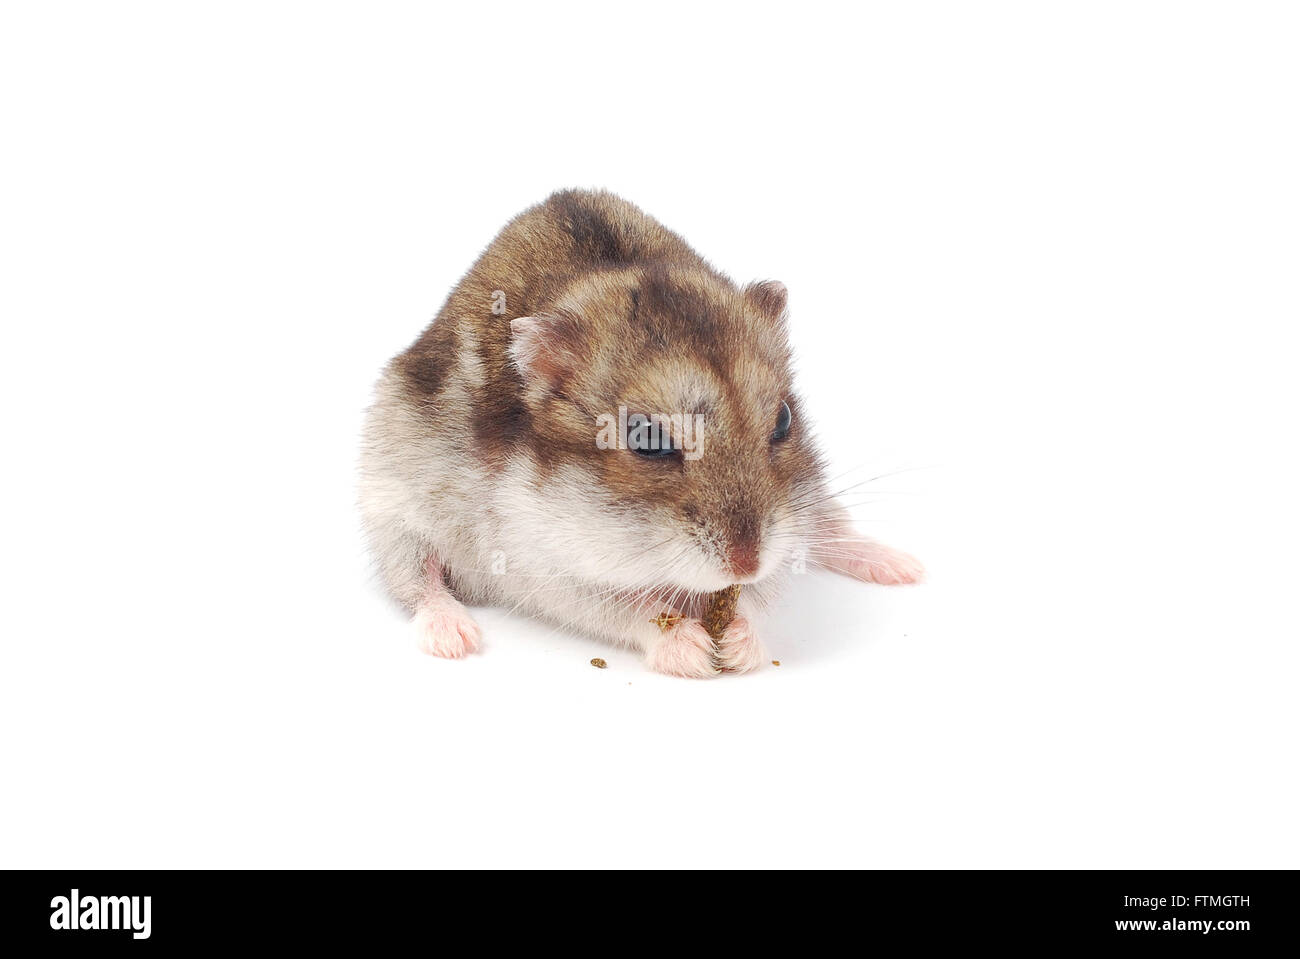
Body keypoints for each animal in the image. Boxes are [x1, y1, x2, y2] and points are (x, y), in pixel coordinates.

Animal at [359, 189, 923, 678]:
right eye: (648, 440)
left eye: (784, 420)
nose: (745, 566)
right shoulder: (537, 567)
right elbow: (627, 605)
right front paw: (693, 650)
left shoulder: (789, 523)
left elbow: (762, 593)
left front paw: (741, 646)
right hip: (391, 514)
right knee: (418, 582)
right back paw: (453, 638)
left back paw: (903, 567)